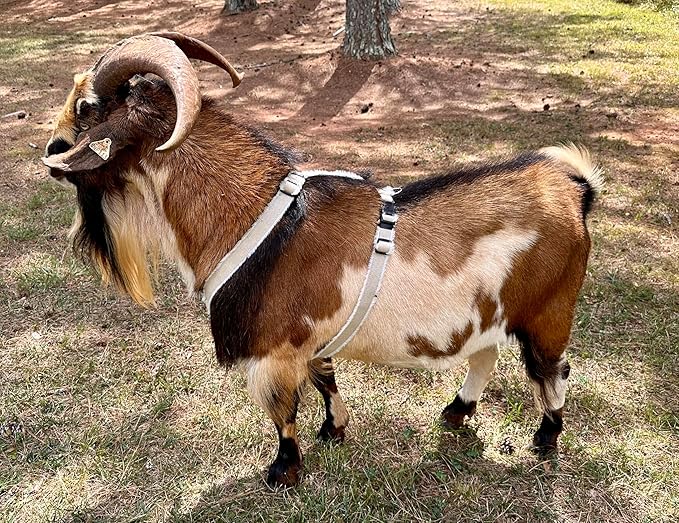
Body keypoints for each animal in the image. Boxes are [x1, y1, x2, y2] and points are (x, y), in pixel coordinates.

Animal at [43, 32, 603, 488]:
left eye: (87, 106)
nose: (50, 150)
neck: (249, 211)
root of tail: (573, 189)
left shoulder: (274, 349)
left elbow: (282, 410)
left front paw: (283, 471)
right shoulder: (309, 338)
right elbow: (324, 379)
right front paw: (333, 430)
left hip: (548, 311)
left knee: (552, 370)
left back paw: (544, 440)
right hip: (489, 313)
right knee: (485, 355)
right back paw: (455, 412)